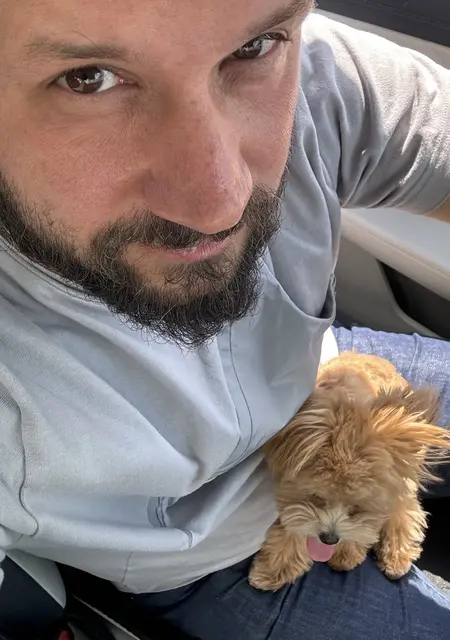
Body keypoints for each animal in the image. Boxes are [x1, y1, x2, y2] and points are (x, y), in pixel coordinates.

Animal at [249, 351, 450, 591]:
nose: (330, 539)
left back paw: (396, 554)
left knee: (408, 507)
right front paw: (277, 567)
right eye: (316, 498)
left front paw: (348, 551)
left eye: (356, 508)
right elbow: (296, 522)